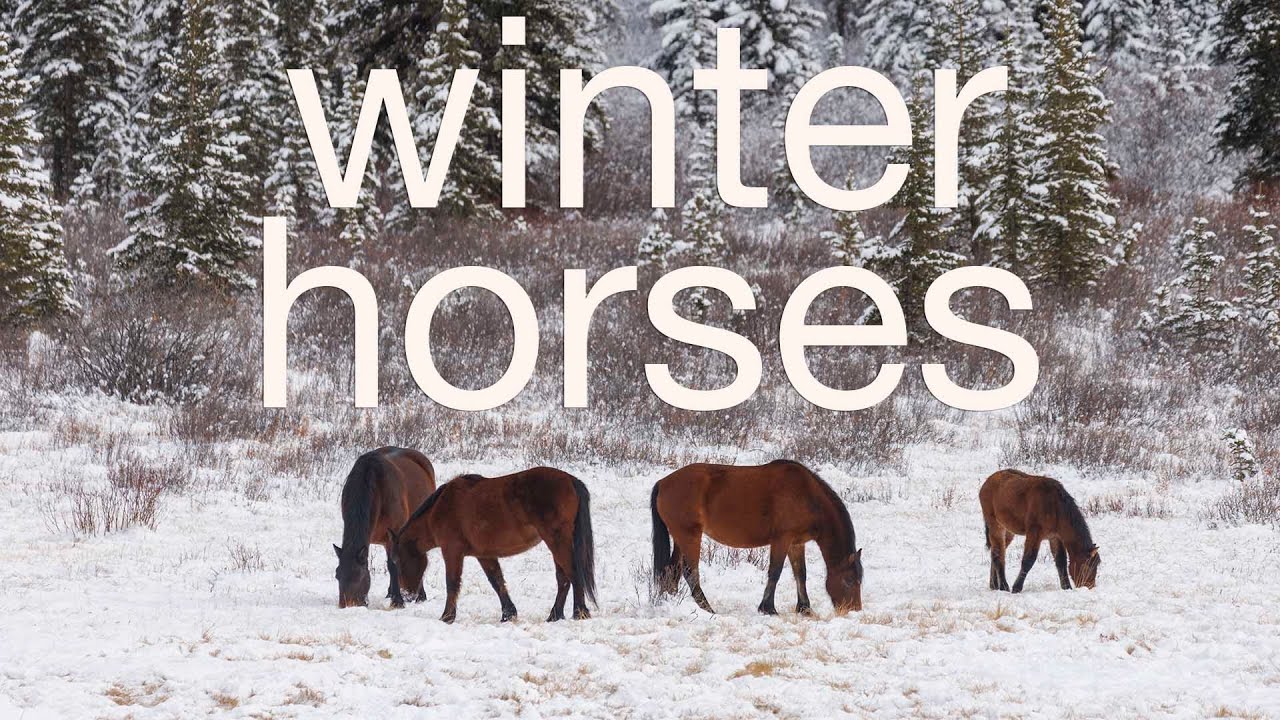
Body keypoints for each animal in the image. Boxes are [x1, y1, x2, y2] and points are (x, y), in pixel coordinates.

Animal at [334, 447, 436, 608]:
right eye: (337, 575)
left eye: (358, 576)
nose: (347, 605)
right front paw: (394, 596)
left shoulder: (393, 534)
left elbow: (393, 565)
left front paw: (398, 601)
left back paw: (420, 596)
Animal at [390, 467, 596, 623]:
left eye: (398, 561)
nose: (406, 595)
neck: (441, 508)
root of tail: (570, 480)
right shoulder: (484, 554)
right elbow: (496, 580)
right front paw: (508, 614)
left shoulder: (452, 551)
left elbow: (452, 582)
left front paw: (447, 617)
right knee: (563, 578)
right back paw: (555, 615)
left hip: (557, 540)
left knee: (572, 573)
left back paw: (579, 612)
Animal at [650, 460, 864, 616]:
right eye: (849, 581)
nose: (854, 611)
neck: (806, 496)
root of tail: (663, 482)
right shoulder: (782, 540)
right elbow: (775, 572)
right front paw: (768, 608)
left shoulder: (796, 543)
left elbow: (800, 574)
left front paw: (804, 608)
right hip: (689, 535)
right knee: (690, 572)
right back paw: (707, 609)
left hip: (680, 537)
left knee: (672, 570)